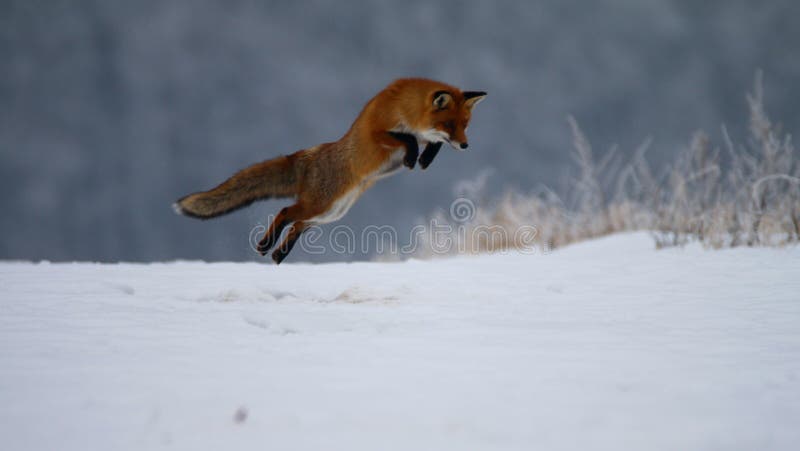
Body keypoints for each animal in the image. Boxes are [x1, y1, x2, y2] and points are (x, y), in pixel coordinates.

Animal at [173, 78, 486, 264]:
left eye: (465, 125)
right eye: (449, 124)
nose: (466, 145)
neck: (403, 107)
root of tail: (308, 155)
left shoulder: (422, 135)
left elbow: (431, 143)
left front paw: (426, 159)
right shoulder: (377, 133)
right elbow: (405, 138)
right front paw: (413, 157)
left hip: (330, 213)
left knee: (298, 223)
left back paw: (278, 253)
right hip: (321, 205)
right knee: (286, 212)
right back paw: (267, 245)